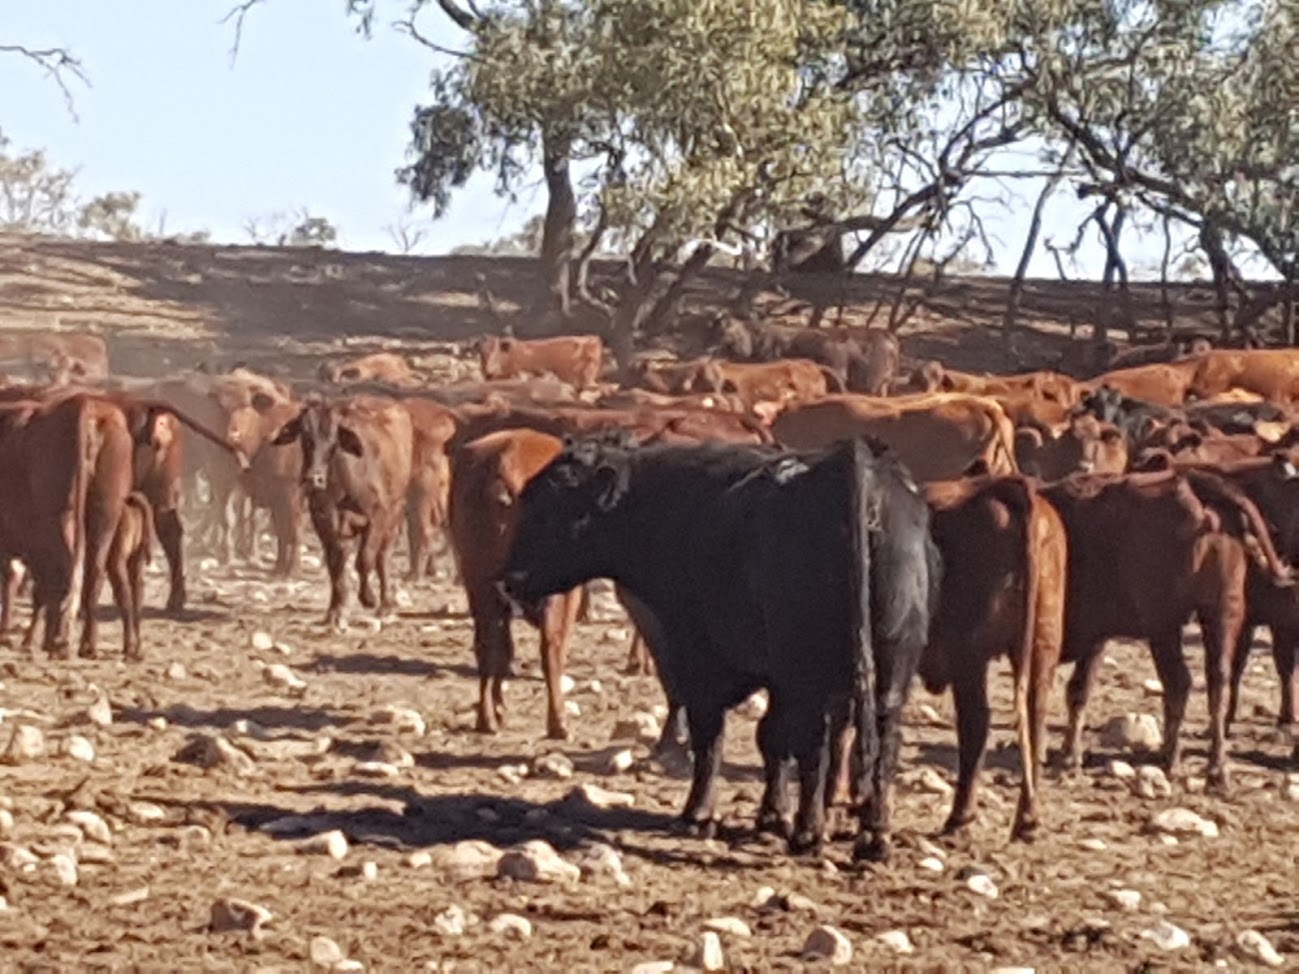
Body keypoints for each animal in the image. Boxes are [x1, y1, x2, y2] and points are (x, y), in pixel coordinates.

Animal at [271, 396, 414, 628]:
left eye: (333, 441)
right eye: (305, 437)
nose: (313, 479)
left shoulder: (378, 517)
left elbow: (365, 559)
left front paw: (368, 598)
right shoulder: (324, 522)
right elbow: (336, 565)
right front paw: (336, 612)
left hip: (395, 514)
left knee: (383, 558)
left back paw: (386, 604)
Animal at [501, 436, 940, 860]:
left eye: (552, 503)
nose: (508, 579)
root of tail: (854, 462)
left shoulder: (699, 660)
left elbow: (711, 735)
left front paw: (699, 814)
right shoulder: (776, 677)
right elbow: (772, 737)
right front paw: (771, 815)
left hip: (808, 668)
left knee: (815, 742)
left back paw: (808, 834)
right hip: (890, 665)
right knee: (883, 739)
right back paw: (872, 838)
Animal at [918, 476, 1068, 841]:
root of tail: (1002, 488)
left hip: (969, 656)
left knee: (976, 722)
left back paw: (960, 818)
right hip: (1041, 645)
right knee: (1035, 719)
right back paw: (1027, 819)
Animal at [1040, 469, 1292, 788]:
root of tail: (1191, 485)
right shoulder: (1096, 637)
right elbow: (1079, 690)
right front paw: (1069, 757)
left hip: (1163, 625)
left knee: (1179, 682)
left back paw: (1173, 759)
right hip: (1222, 612)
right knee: (1218, 680)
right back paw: (1216, 768)